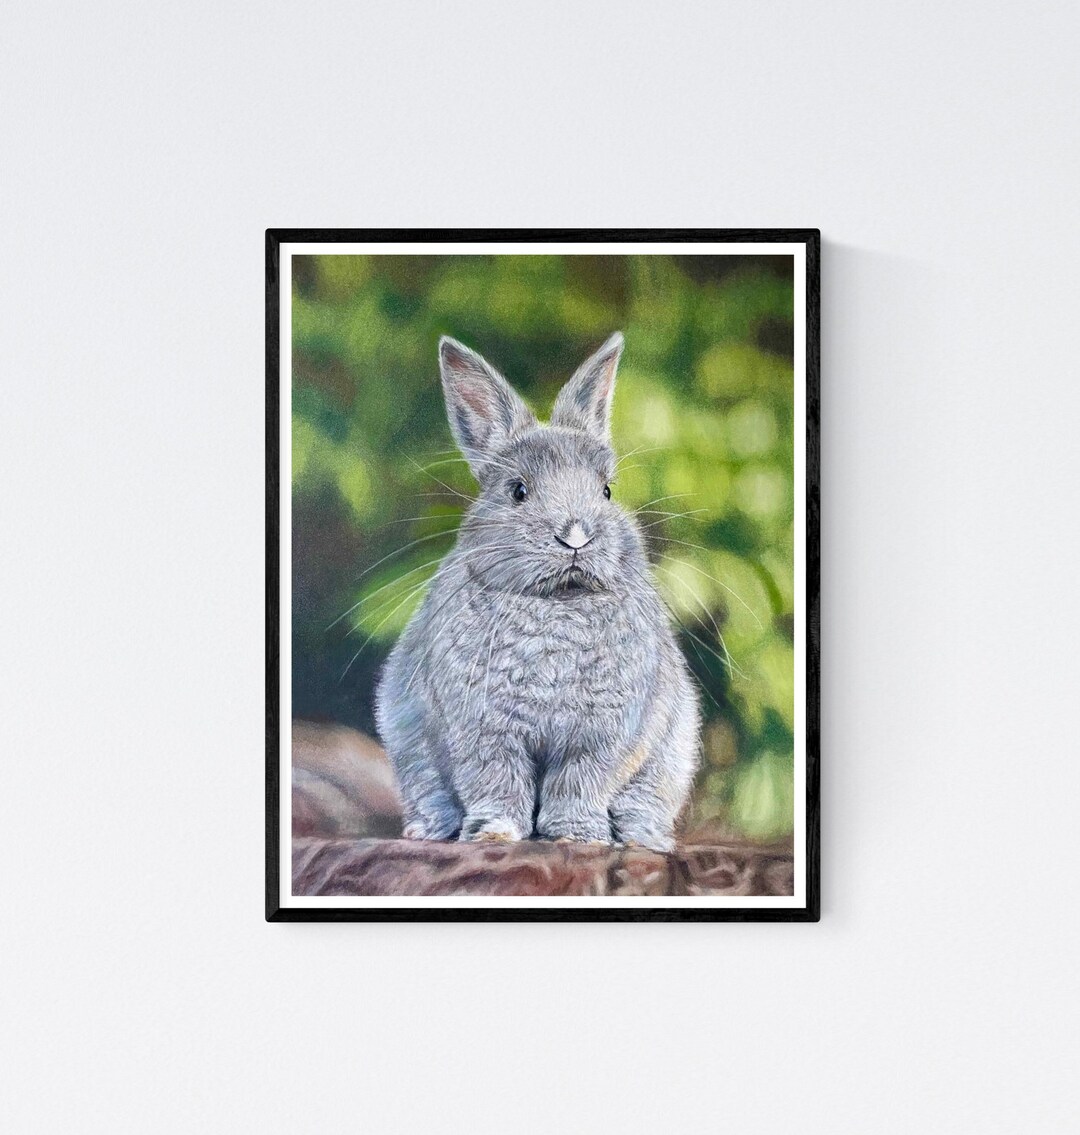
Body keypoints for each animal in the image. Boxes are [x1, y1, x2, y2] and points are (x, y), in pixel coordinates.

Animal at [373, 333, 700, 853]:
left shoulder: (601, 737)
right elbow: (497, 783)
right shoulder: (483, 734)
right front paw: (493, 835)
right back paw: (426, 830)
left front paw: (576, 838)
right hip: (412, 753)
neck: (558, 604)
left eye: (606, 491)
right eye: (518, 491)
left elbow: (578, 783)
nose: (575, 536)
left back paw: (644, 840)